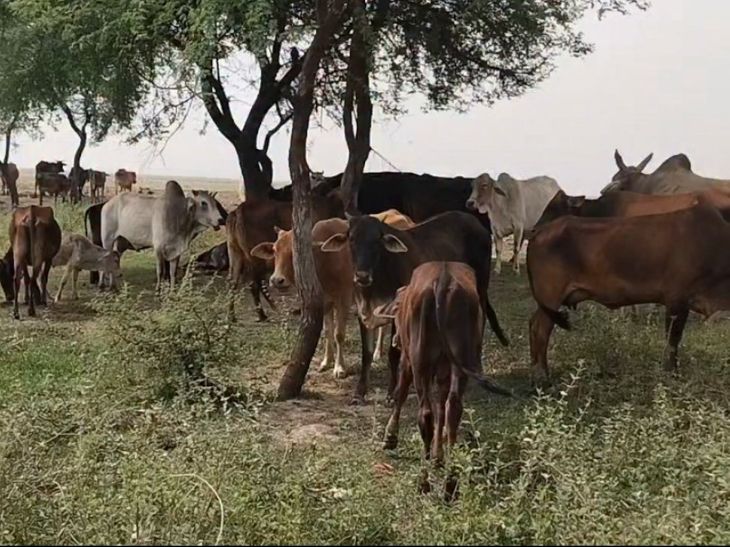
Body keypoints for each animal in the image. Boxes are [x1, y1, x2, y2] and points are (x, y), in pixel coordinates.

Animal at [319, 210, 509, 401]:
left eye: (377, 240)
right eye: (351, 239)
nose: (362, 276)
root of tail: (475, 223)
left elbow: (393, 353)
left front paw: (392, 393)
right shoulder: (362, 313)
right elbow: (366, 353)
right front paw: (359, 392)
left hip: (480, 287)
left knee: (480, 322)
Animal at [374, 262, 511, 499]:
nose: (396, 339)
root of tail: (443, 279)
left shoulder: (408, 362)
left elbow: (401, 393)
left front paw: (390, 436)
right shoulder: (444, 371)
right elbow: (441, 406)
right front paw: (438, 457)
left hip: (420, 361)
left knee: (426, 415)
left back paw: (424, 483)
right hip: (460, 361)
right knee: (452, 407)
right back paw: (450, 485)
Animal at [526, 203, 730, 387]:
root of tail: (539, 231)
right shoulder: (677, 300)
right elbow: (672, 341)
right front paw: (671, 375)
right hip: (551, 296)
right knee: (540, 329)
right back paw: (542, 376)